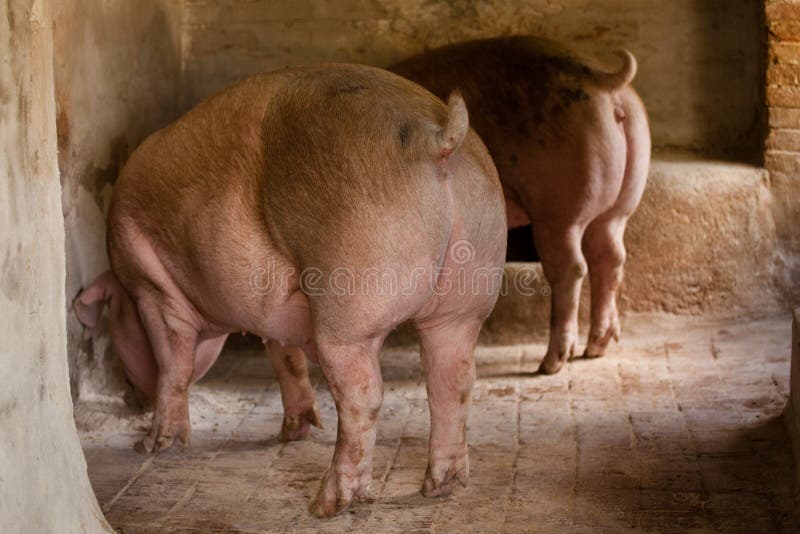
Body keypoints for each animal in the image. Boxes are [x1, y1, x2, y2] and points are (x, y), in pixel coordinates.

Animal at [73, 63, 507, 517]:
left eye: (118, 319)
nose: (132, 398)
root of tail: (437, 138)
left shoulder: (154, 292)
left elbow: (173, 363)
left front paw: (154, 446)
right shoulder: (275, 311)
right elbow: (287, 359)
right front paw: (293, 433)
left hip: (348, 305)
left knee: (365, 395)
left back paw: (326, 505)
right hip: (467, 300)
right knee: (453, 382)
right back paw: (441, 487)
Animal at [391, 36, 651, 374]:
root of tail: (604, 79)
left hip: (559, 208)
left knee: (571, 267)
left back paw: (551, 364)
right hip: (621, 204)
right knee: (610, 256)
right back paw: (595, 349)